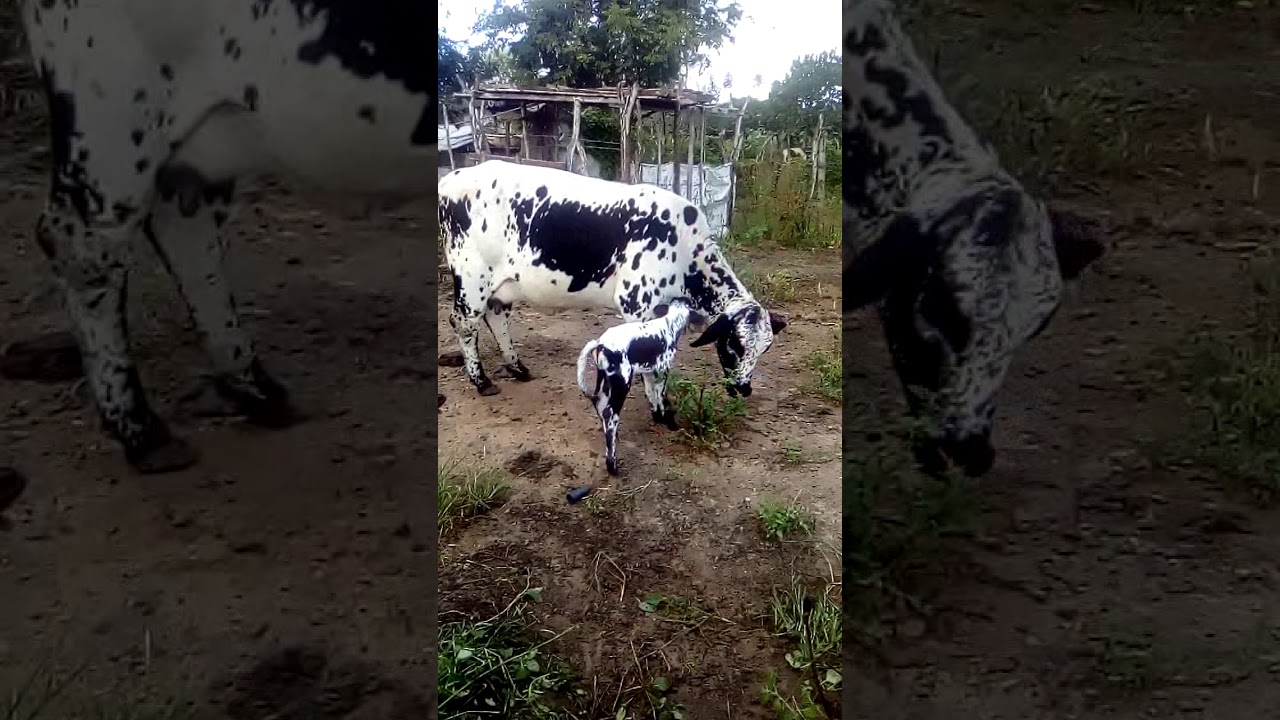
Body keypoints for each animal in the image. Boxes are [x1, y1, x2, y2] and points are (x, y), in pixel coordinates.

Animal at [438, 160, 788, 426]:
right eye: (734, 344)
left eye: (765, 349)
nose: (743, 389)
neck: (685, 248)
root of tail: (452, 177)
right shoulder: (637, 303)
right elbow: (656, 364)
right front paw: (660, 411)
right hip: (471, 277)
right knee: (464, 323)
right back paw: (482, 381)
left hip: (501, 285)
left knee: (496, 316)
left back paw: (517, 367)